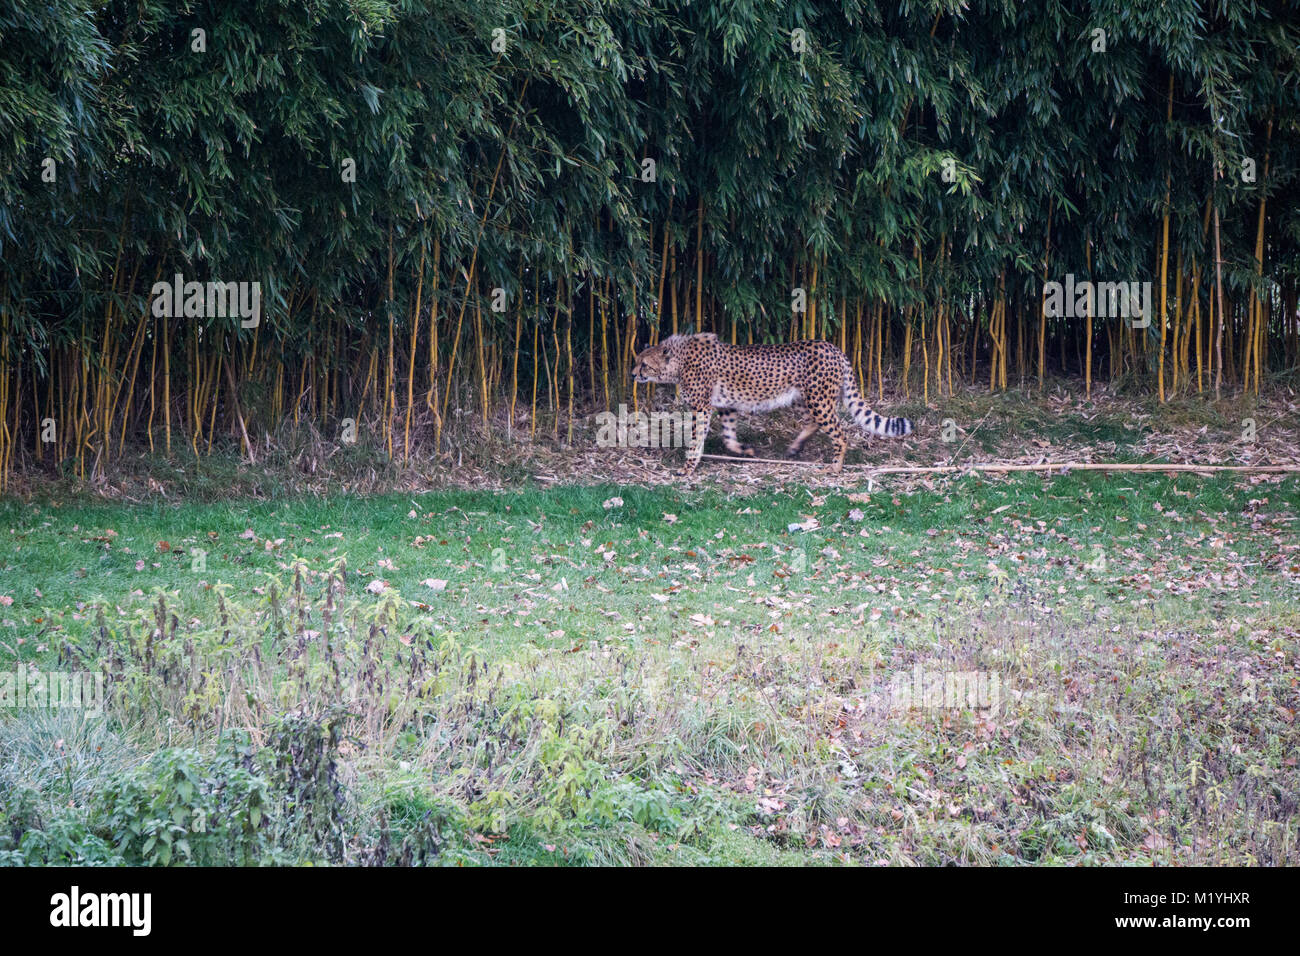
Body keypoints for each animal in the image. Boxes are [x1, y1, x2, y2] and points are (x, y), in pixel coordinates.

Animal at [631, 332, 913, 476]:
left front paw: (688, 467)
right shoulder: (726, 405)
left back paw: (835, 466)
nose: (633, 374)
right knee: (813, 422)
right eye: (637, 361)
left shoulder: (701, 407)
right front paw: (745, 451)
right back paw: (795, 448)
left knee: (840, 433)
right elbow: (728, 437)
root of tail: (832, 346)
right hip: (800, 399)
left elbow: (696, 437)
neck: (678, 362)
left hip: (818, 399)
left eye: (644, 364)